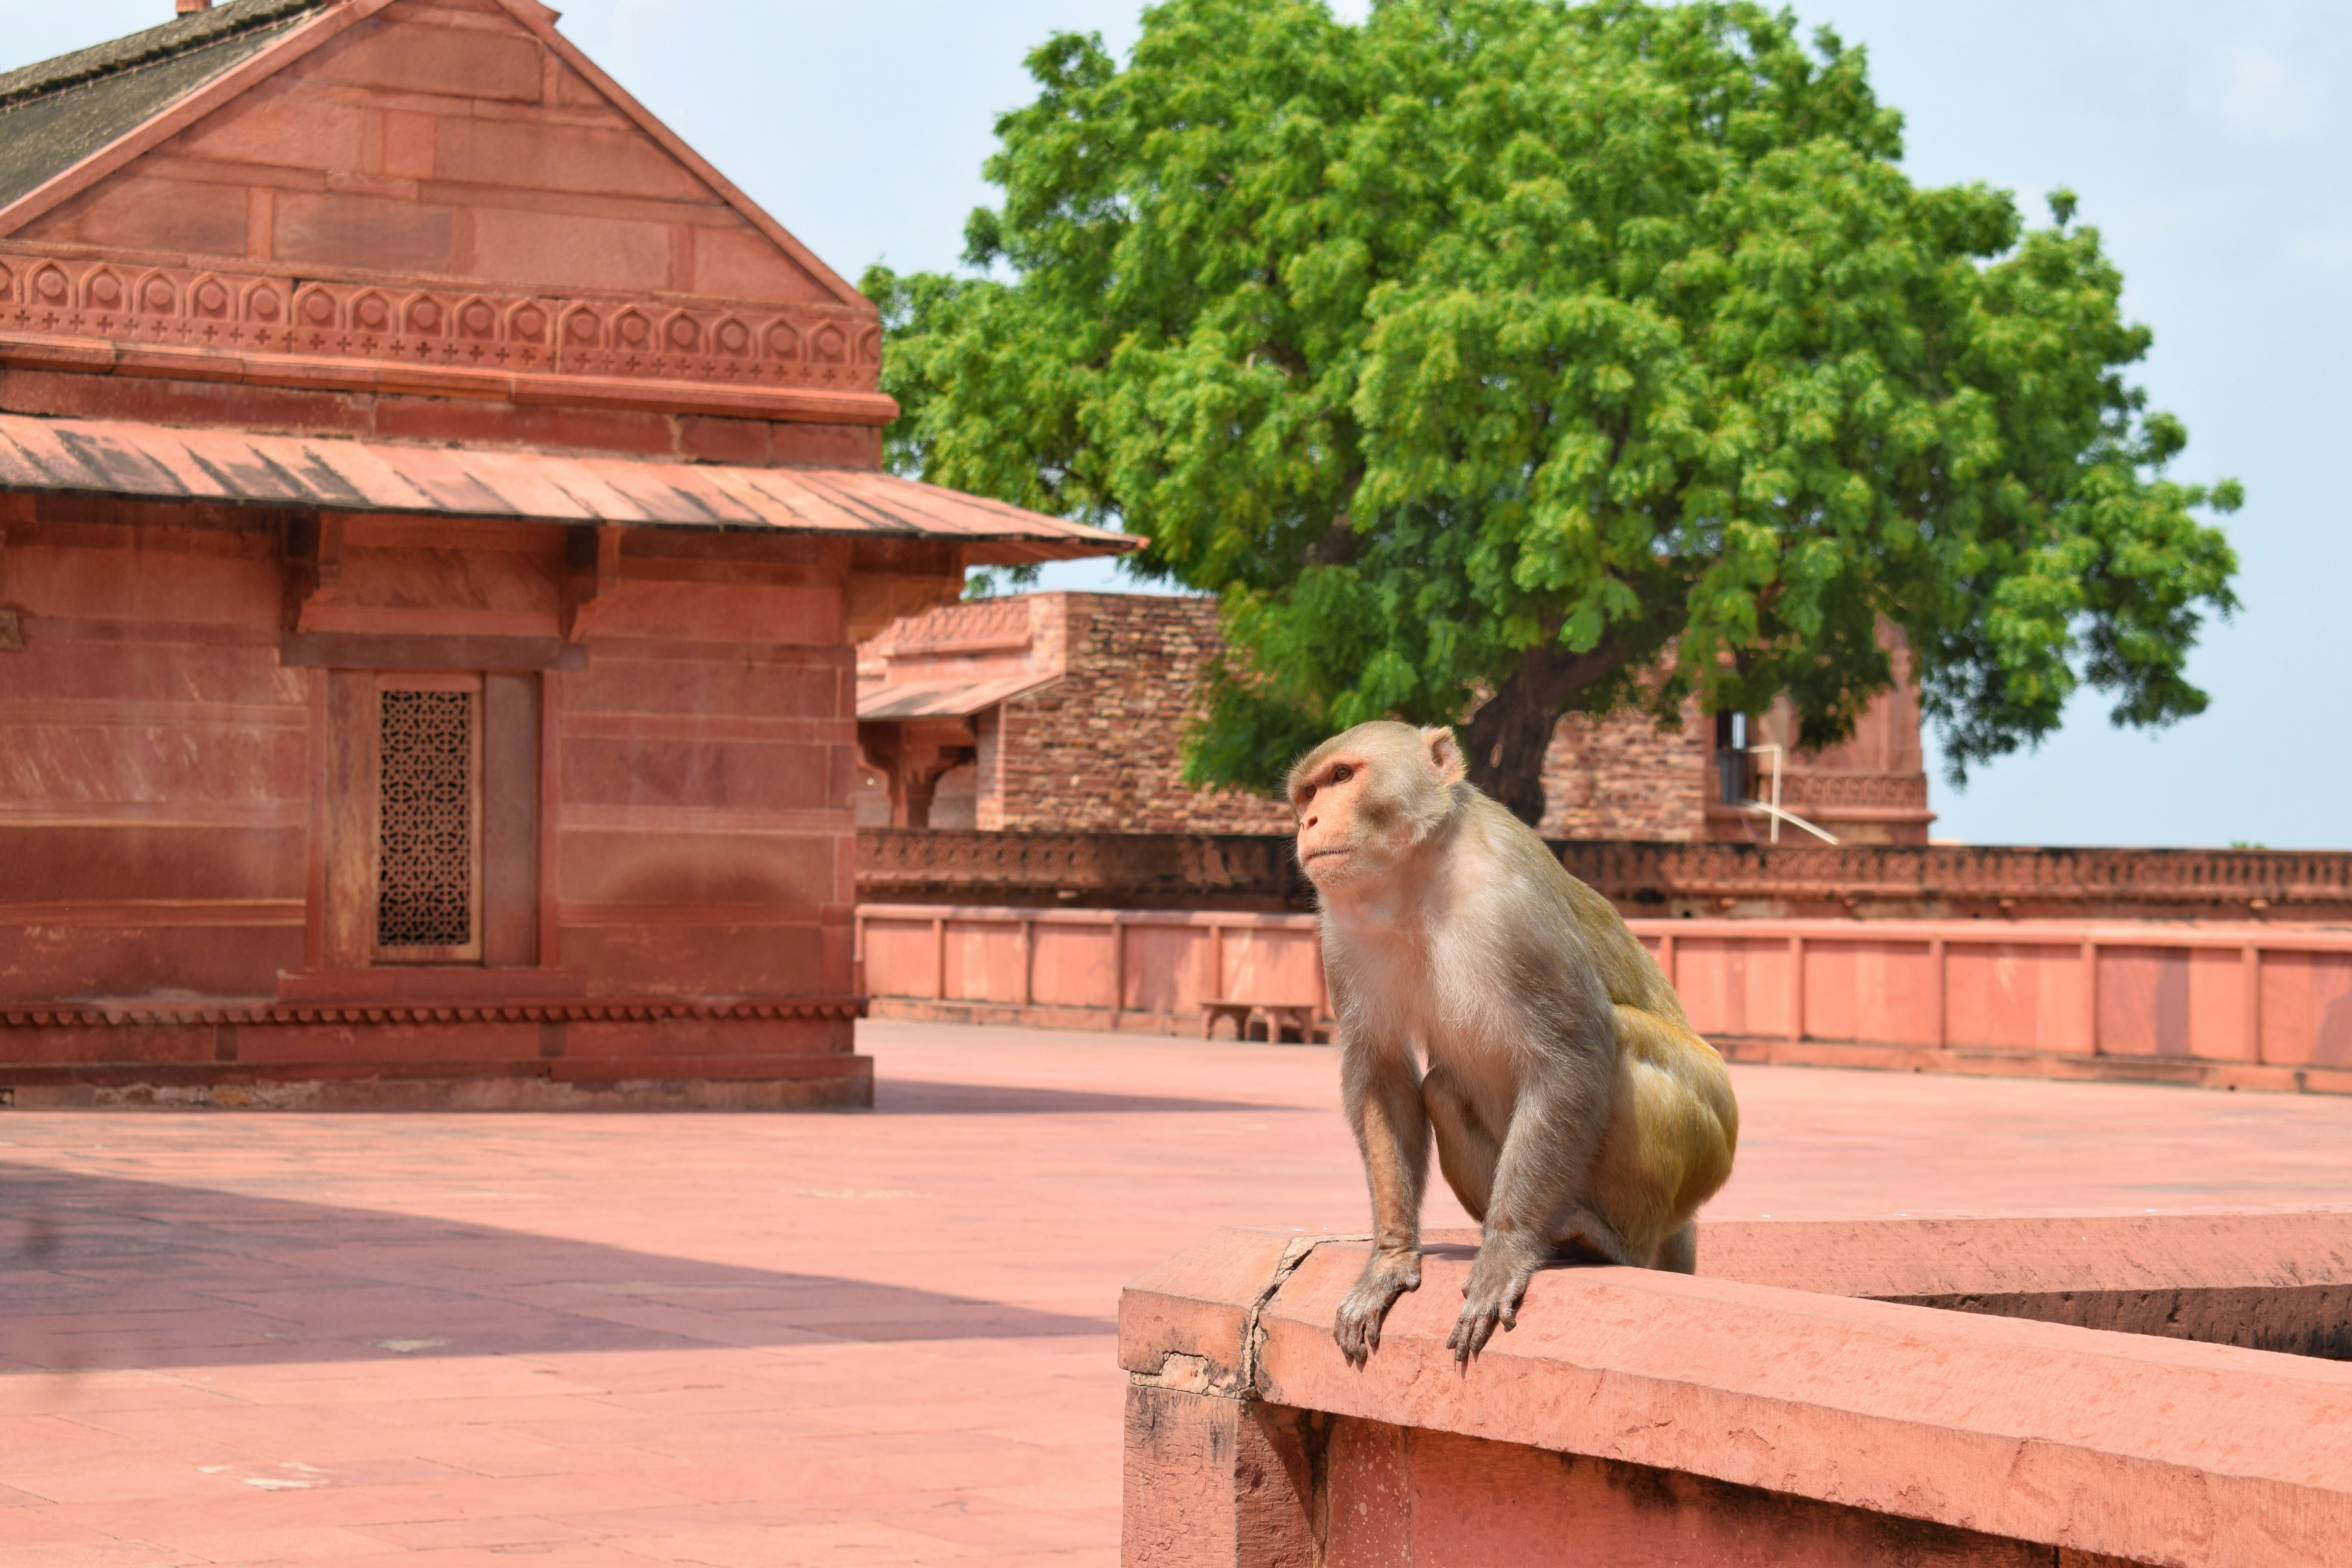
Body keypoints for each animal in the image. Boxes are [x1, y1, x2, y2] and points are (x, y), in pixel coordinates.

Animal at [1288, 720, 1739, 1364]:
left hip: (1710, 1150)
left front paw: (1506, 1249)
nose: (1308, 822)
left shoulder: (1512, 902)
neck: (1416, 876)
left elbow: (1571, 1057)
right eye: (1306, 793)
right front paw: (1390, 1260)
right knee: (1443, 1088)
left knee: (1618, 1043)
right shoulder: (1341, 932)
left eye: (1343, 776)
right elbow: (1381, 1072)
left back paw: (1608, 1243)